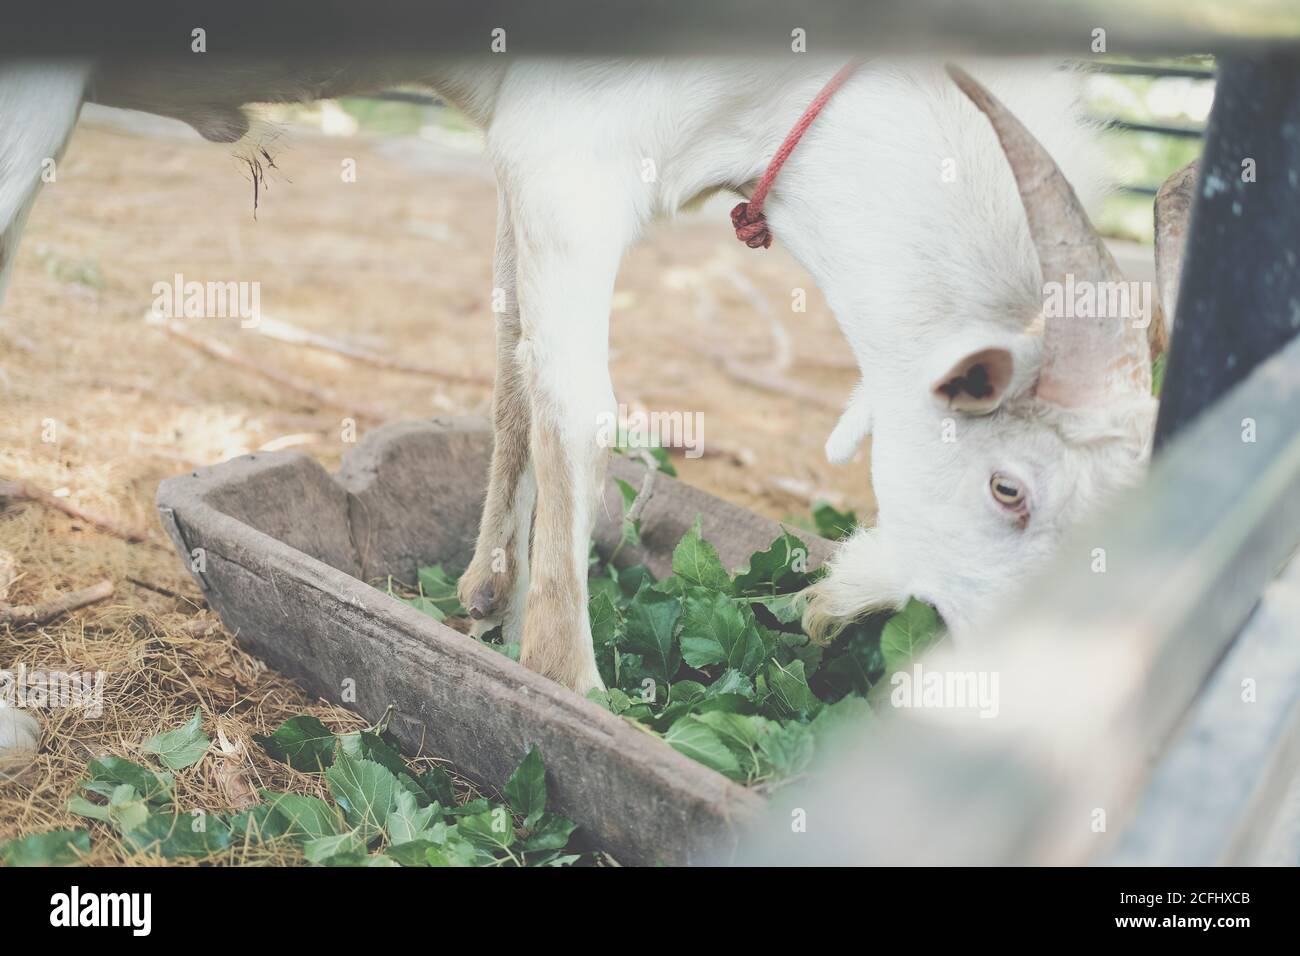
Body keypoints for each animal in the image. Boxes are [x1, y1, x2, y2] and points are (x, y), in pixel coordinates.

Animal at [0, 57, 1193, 759]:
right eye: (1008, 489)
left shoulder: (522, 147)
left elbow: (511, 363)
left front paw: (483, 594)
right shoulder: (573, 147)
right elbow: (574, 407)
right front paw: (565, 686)